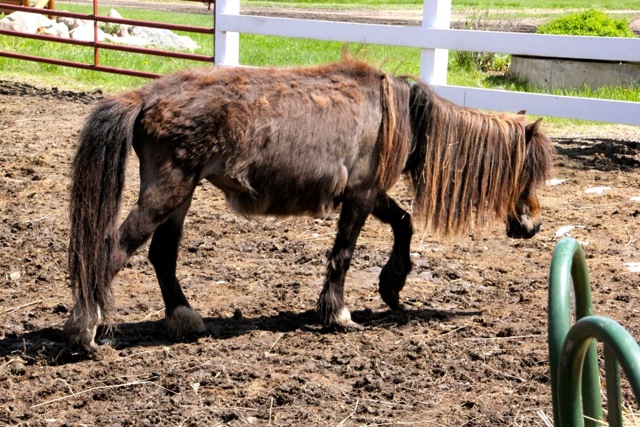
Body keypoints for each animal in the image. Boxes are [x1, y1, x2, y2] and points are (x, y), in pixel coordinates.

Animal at [64, 59, 554, 351]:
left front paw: (392, 286)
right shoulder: (359, 197)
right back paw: (86, 329)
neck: (402, 114)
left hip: (179, 197)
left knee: (162, 255)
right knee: (112, 250)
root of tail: (146, 96)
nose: (532, 226)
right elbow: (344, 253)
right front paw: (337, 313)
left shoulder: (368, 192)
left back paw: (185, 319)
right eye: (529, 171)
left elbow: (404, 223)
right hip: (166, 192)